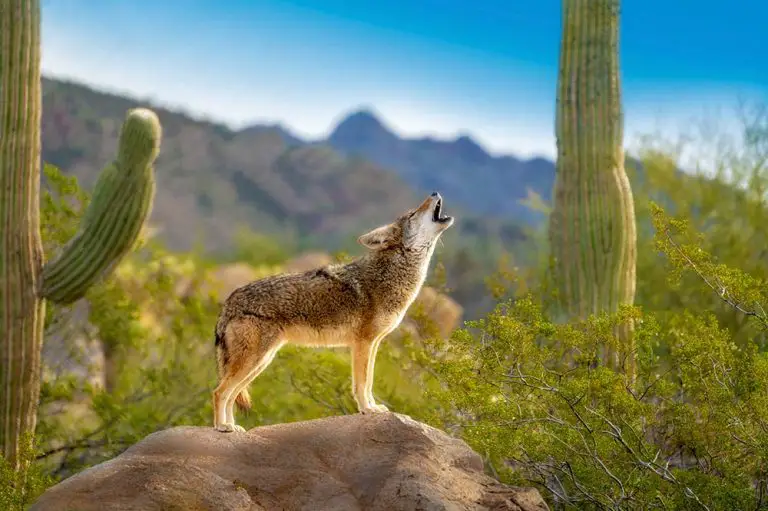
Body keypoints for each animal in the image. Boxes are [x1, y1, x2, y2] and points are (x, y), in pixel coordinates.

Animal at [211, 192, 454, 432]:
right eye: (413, 214)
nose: (434, 192)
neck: (390, 275)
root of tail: (229, 302)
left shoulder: (374, 343)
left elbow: (369, 381)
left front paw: (374, 407)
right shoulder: (363, 343)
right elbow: (361, 383)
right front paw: (367, 410)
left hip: (261, 362)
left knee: (231, 395)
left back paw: (232, 427)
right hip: (254, 361)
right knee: (219, 392)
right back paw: (222, 427)